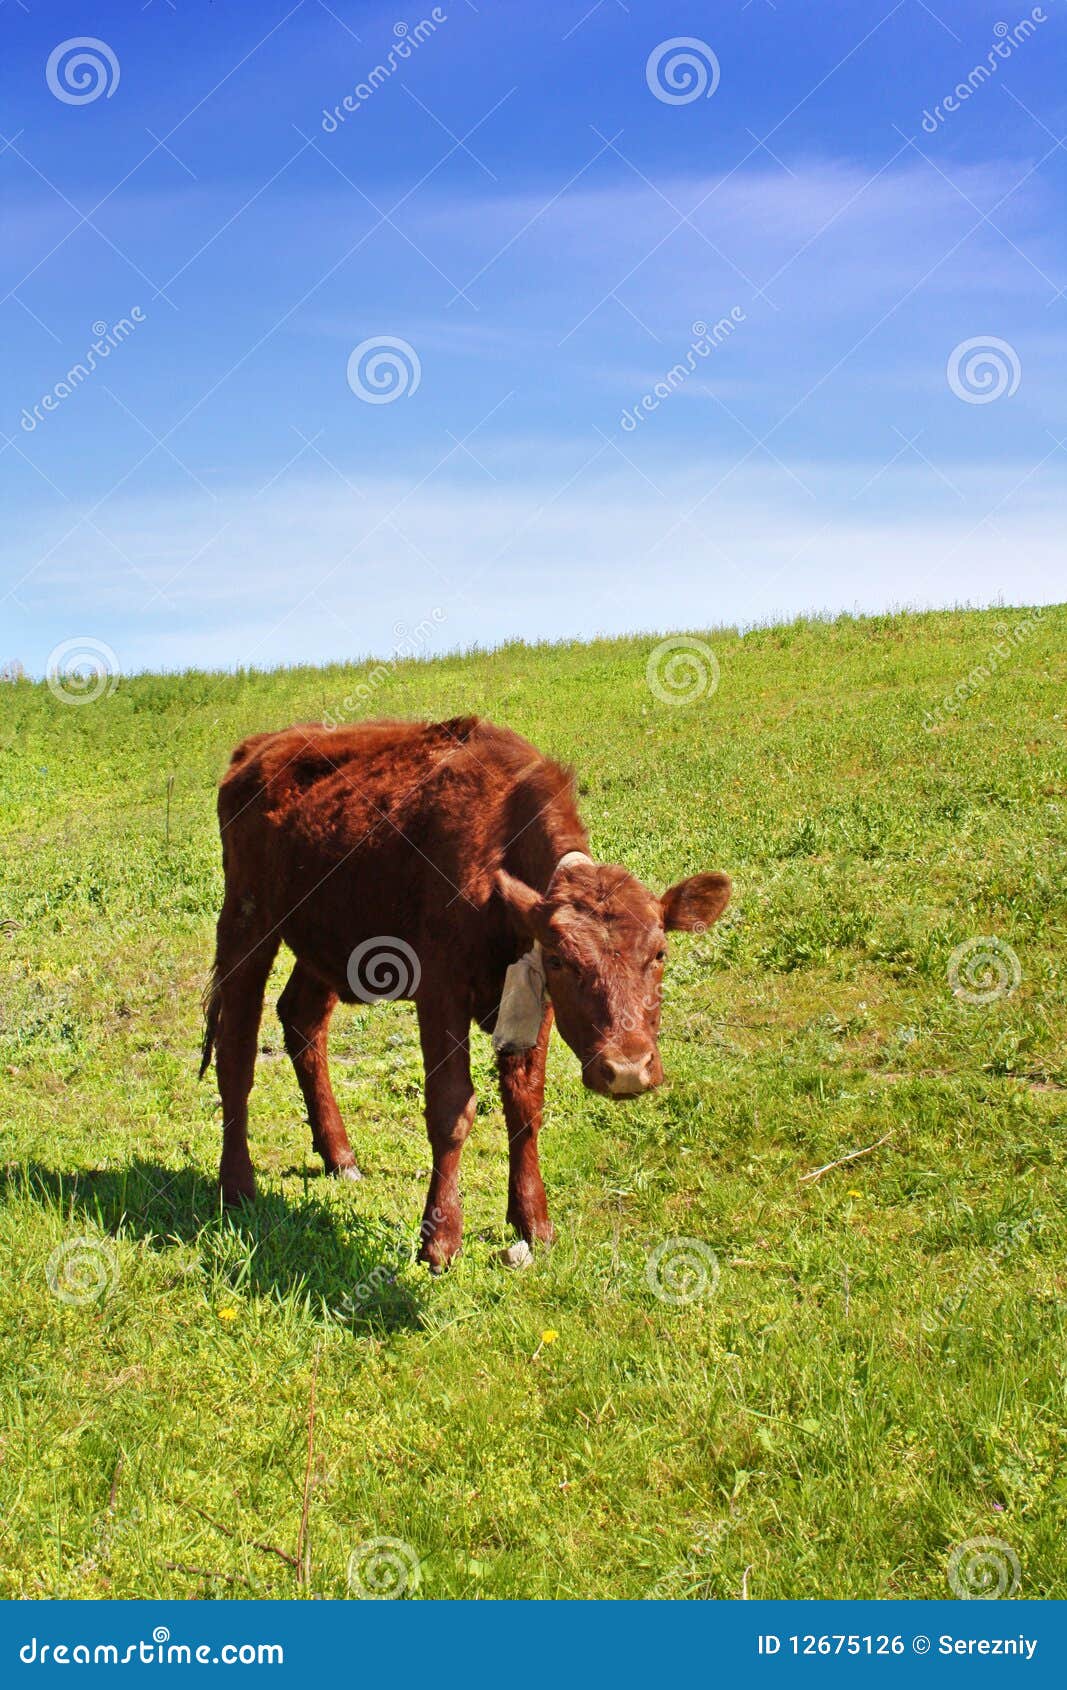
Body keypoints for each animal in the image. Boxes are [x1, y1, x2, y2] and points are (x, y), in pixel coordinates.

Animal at [200, 715, 730, 1271]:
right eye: (560, 960)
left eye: (660, 953)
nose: (627, 1069)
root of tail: (262, 743)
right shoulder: (440, 988)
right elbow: (451, 1107)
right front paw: (441, 1238)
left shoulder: (536, 1003)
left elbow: (525, 1103)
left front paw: (533, 1222)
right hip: (246, 919)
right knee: (236, 1050)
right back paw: (237, 1184)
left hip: (326, 937)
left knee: (302, 1018)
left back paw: (339, 1155)